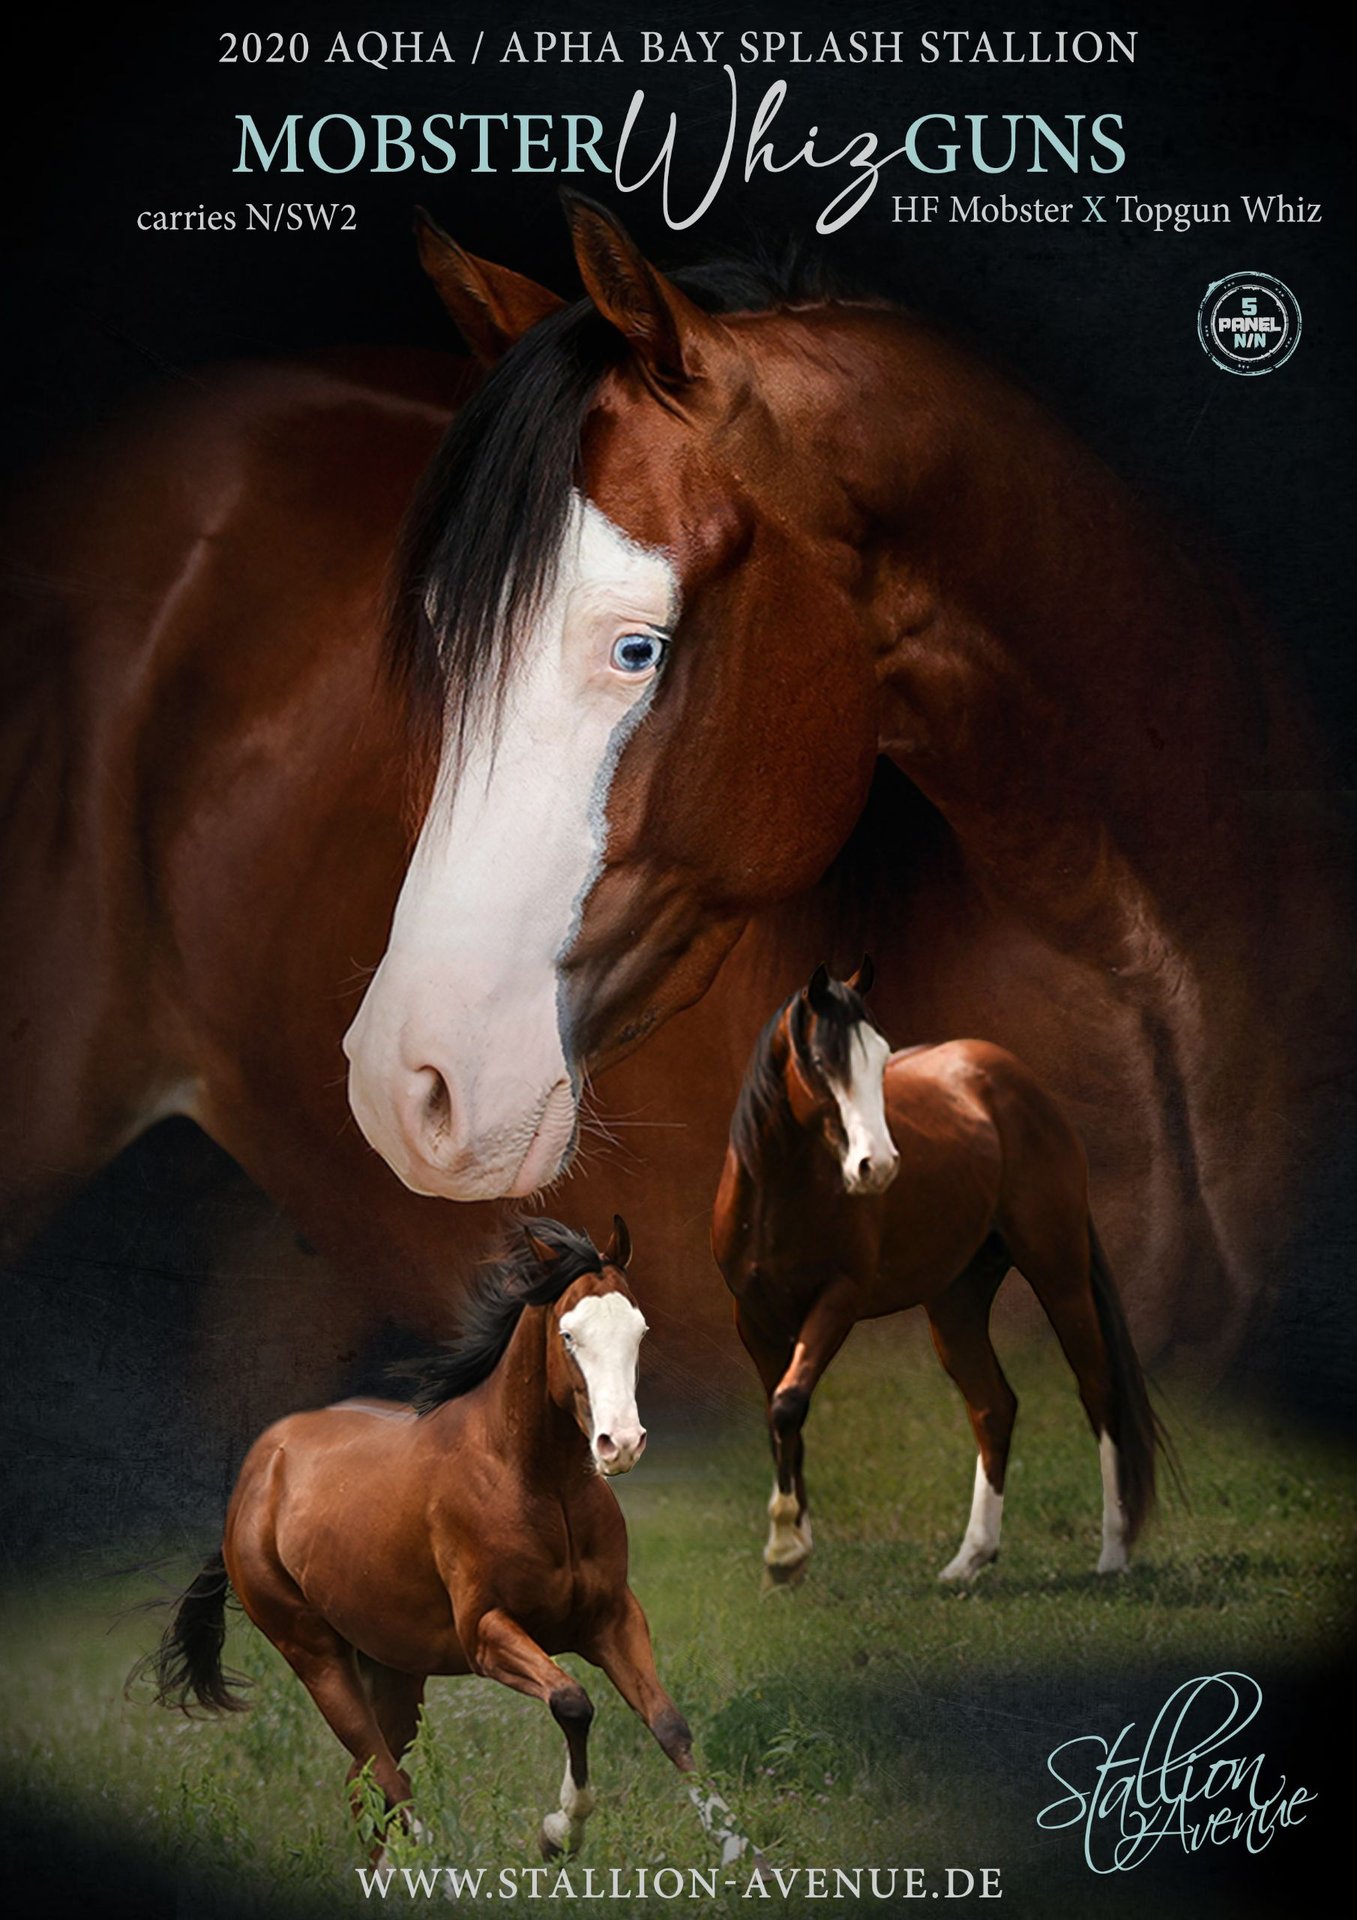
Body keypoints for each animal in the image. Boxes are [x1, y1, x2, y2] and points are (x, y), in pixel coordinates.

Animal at [138, 1215, 697, 1859]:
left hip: (394, 1668)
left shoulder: (612, 1618)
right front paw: (559, 1833)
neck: (534, 1484)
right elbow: (573, 1703)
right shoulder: (486, 1634)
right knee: (385, 1779)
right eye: (568, 1335)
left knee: (366, 1785)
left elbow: (671, 1727)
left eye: (639, 1329)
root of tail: (256, 1477)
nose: (620, 1444)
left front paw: (739, 1849)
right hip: (316, 1656)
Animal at [711, 961, 1163, 1587]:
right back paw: (969, 1559)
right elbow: (782, 1415)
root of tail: (1014, 1078)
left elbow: (788, 1403)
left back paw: (1114, 1551)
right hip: (955, 1302)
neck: (776, 1198)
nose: (877, 1166)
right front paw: (792, 1551)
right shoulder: (755, 1317)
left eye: (881, 1058)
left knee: (1097, 1388)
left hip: (1060, 1274)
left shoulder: (838, 1301)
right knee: (993, 1406)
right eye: (822, 1062)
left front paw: (784, 1549)